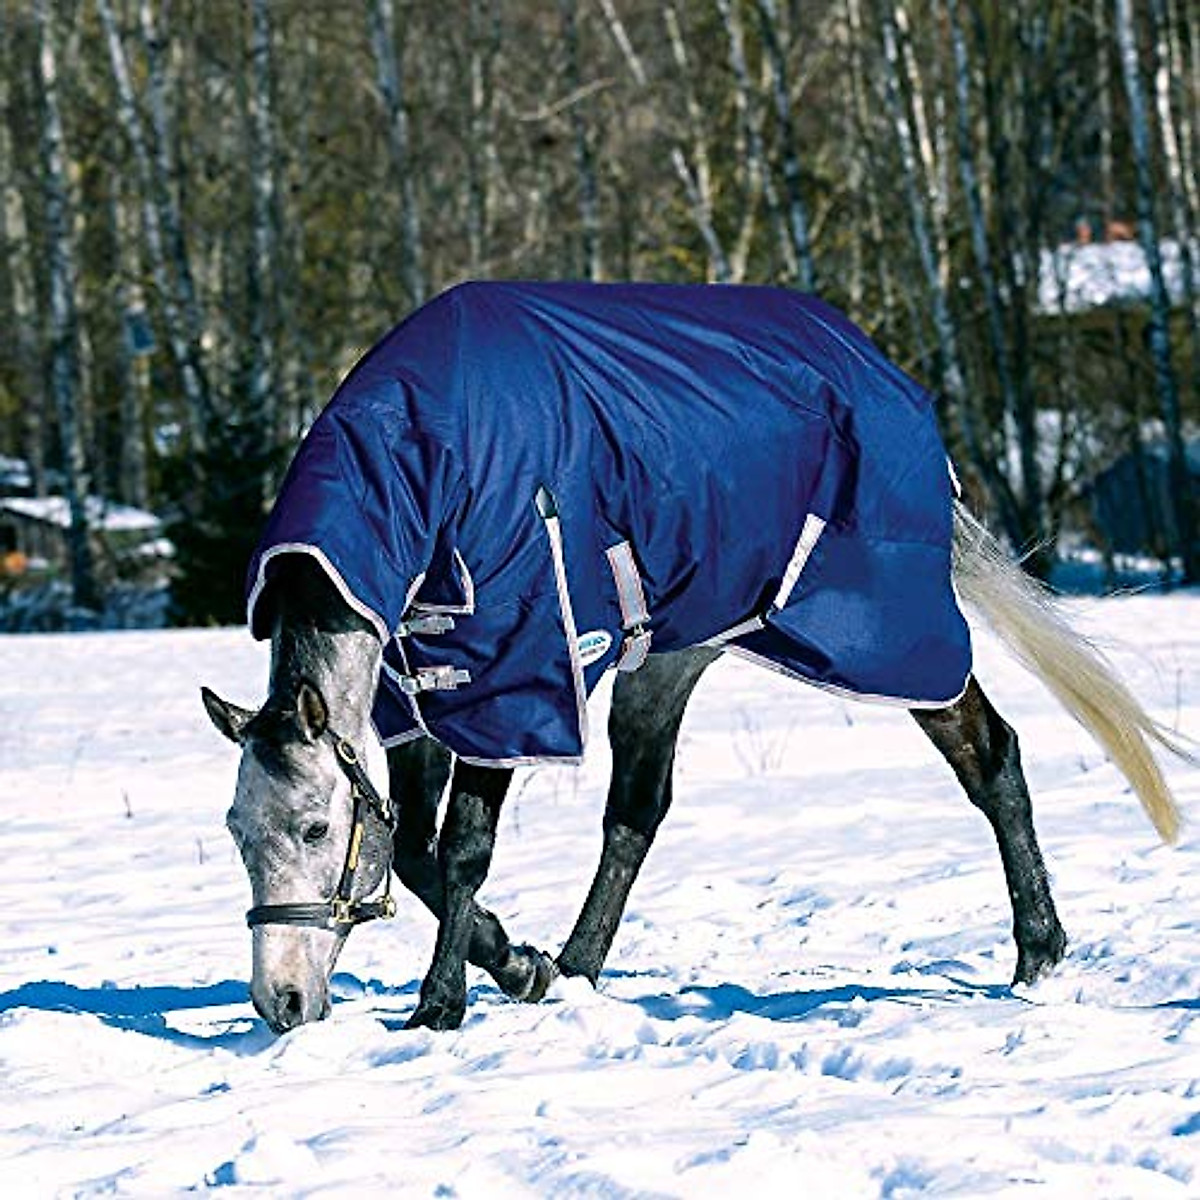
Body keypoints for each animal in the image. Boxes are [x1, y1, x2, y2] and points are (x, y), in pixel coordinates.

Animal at [201, 281, 1184, 1034]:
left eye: (315, 831)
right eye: (237, 832)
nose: (282, 1003)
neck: (422, 463)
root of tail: (890, 379)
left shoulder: (518, 679)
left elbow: (462, 852)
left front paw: (441, 1007)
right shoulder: (418, 695)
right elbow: (411, 852)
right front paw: (518, 964)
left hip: (883, 633)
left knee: (990, 755)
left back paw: (1039, 953)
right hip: (671, 659)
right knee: (636, 812)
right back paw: (576, 966)